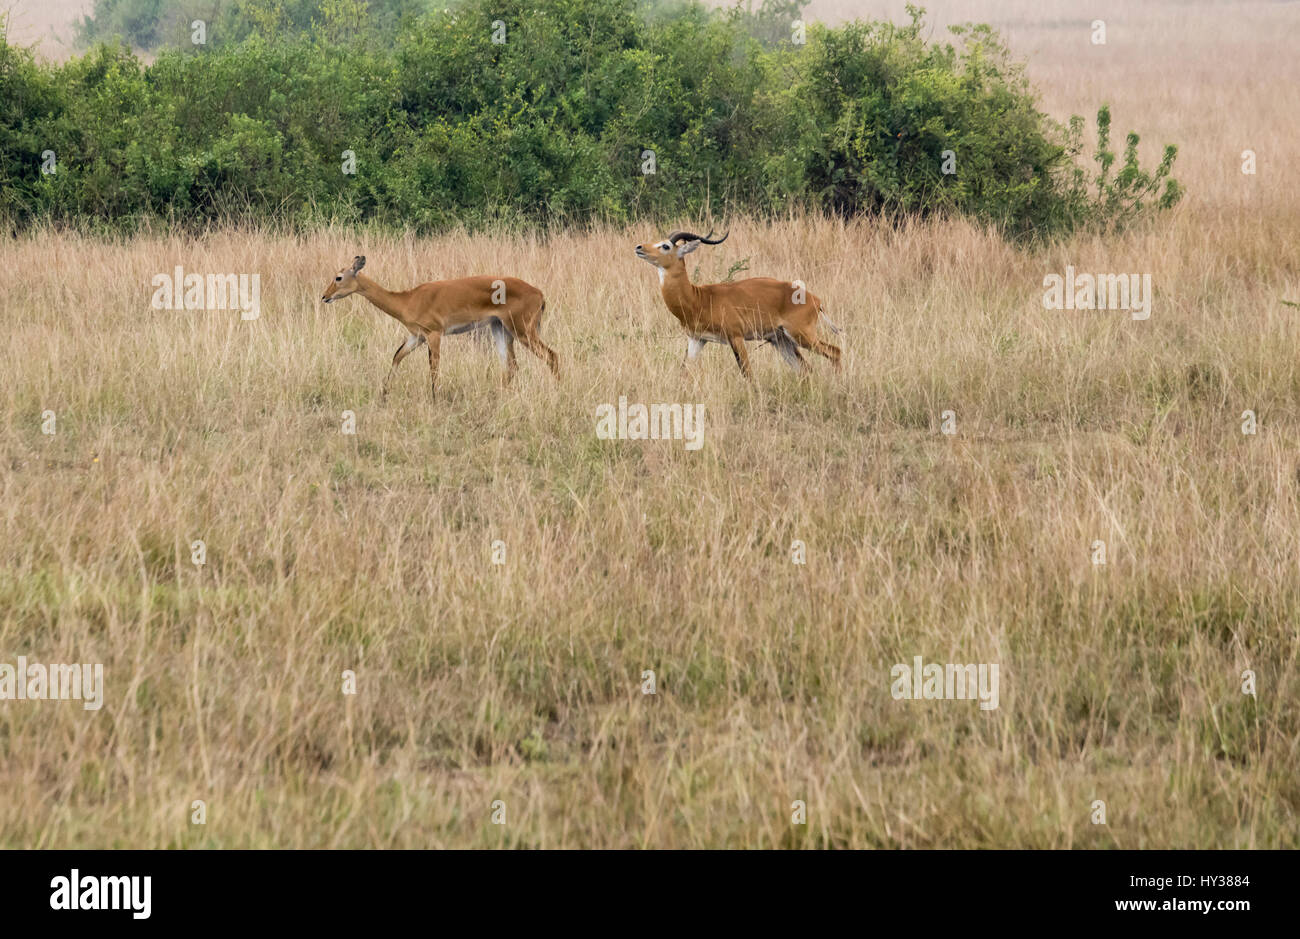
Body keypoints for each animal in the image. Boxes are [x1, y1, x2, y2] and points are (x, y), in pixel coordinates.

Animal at [321, 256, 559, 399]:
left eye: (338, 277)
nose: (324, 296)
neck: (407, 300)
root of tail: (539, 293)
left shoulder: (434, 334)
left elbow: (434, 367)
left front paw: (435, 398)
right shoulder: (416, 336)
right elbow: (397, 356)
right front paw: (384, 393)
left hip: (523, 330)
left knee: (551, 355)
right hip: (500, 329)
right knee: (511, 366)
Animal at [634, 230, 841, 378]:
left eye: (665, 246)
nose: (639, 247)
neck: (698, 299)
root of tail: (816, 300)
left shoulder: (736, 337)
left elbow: (747, 373)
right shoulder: (696, 340)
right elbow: (684, 372)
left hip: (801, 335)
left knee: (835, 352)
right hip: (780, 340)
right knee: (805, 370)